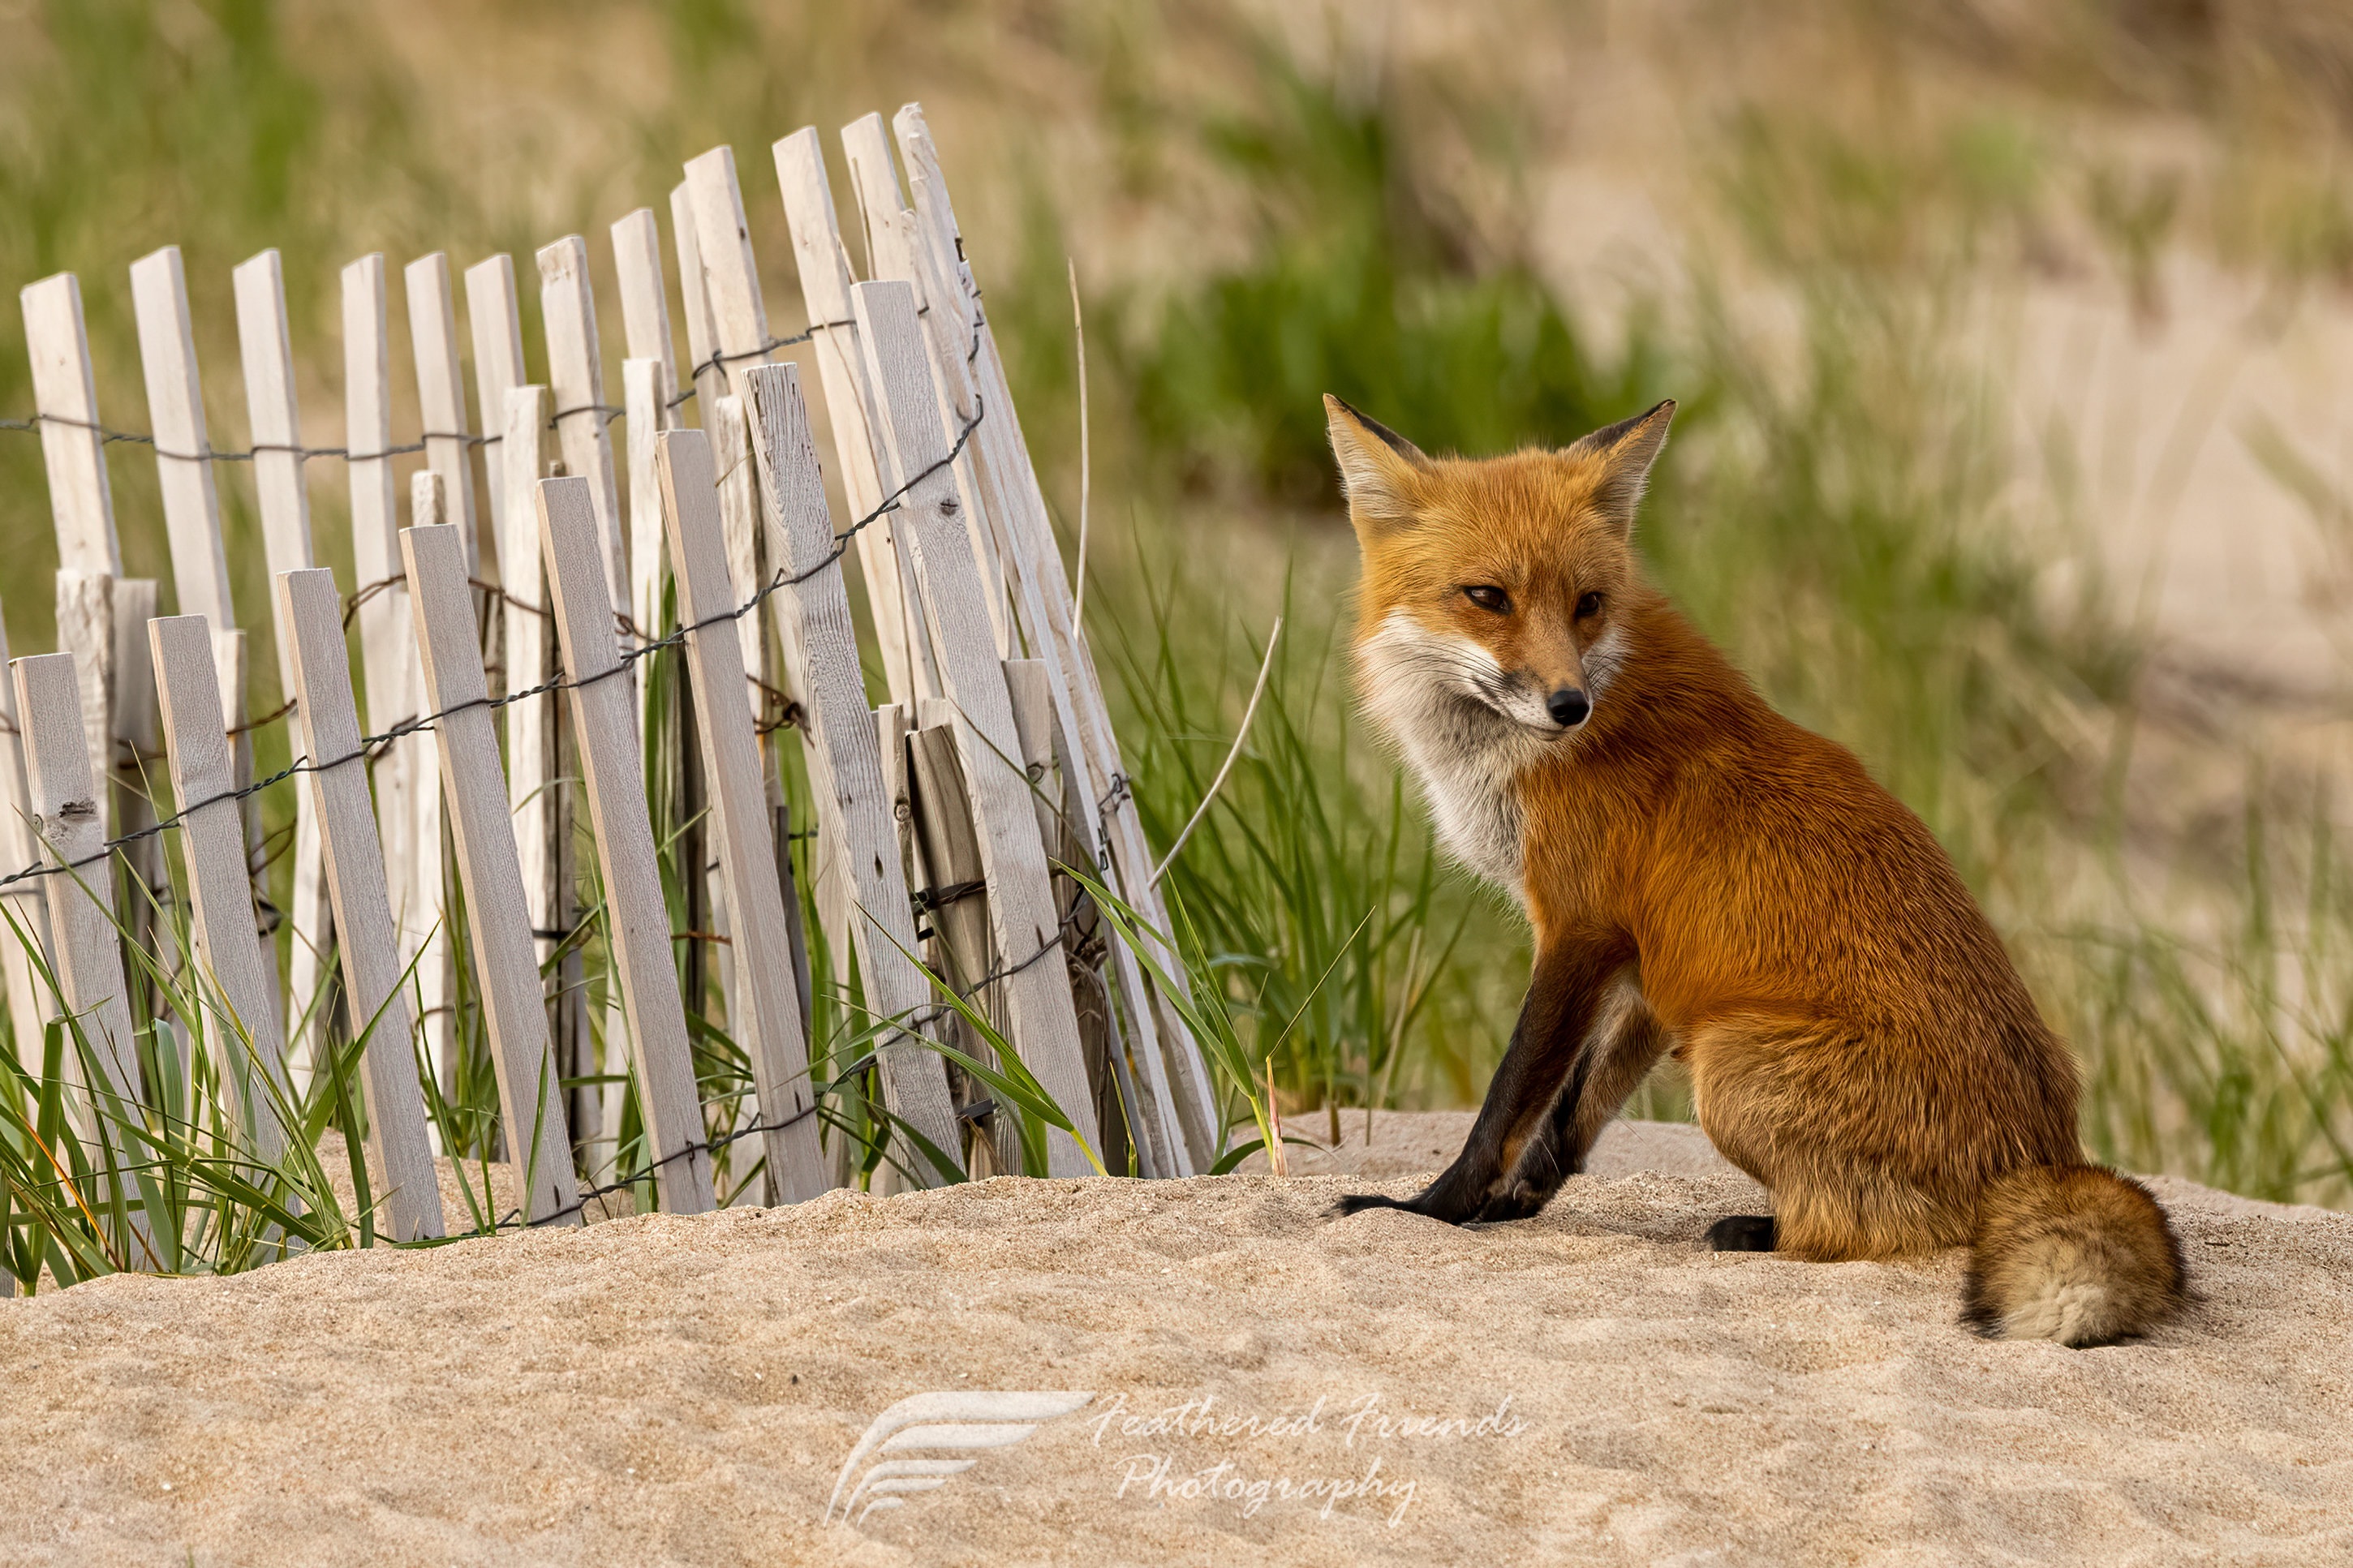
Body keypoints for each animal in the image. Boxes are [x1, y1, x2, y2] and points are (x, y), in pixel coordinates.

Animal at [1323, 394, 2187, 1348]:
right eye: (1487, 597)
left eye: (1587, 603)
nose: (1567, 704)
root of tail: (2043, 1153)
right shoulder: (1646, 964)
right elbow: (1571, 1117)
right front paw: (1513, 1207)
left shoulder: (1578, 930)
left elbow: (1507, 1102)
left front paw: (1427, 1211)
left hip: (1727, 1066)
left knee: (1867, 1232)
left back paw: (1758, 1229)